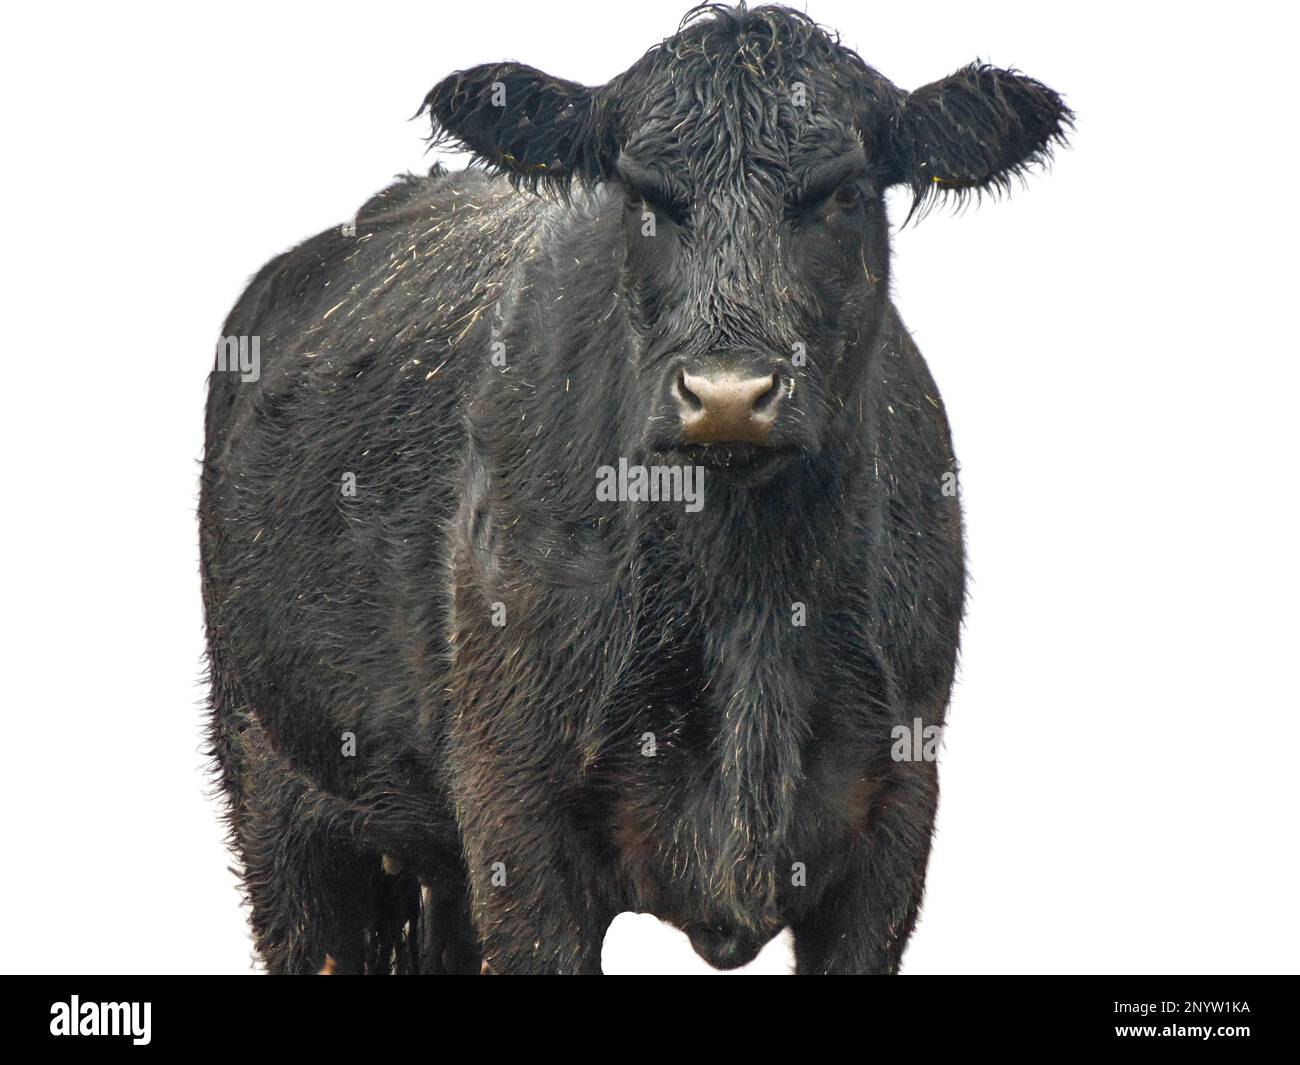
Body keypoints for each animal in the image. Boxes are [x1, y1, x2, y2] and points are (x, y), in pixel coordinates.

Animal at [200, 2, 1070, 974]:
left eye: (843, 191)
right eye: (646, 197)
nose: (728, 394)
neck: (749, 593)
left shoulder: (894, 824)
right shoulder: (517, 817)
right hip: (279, 794)